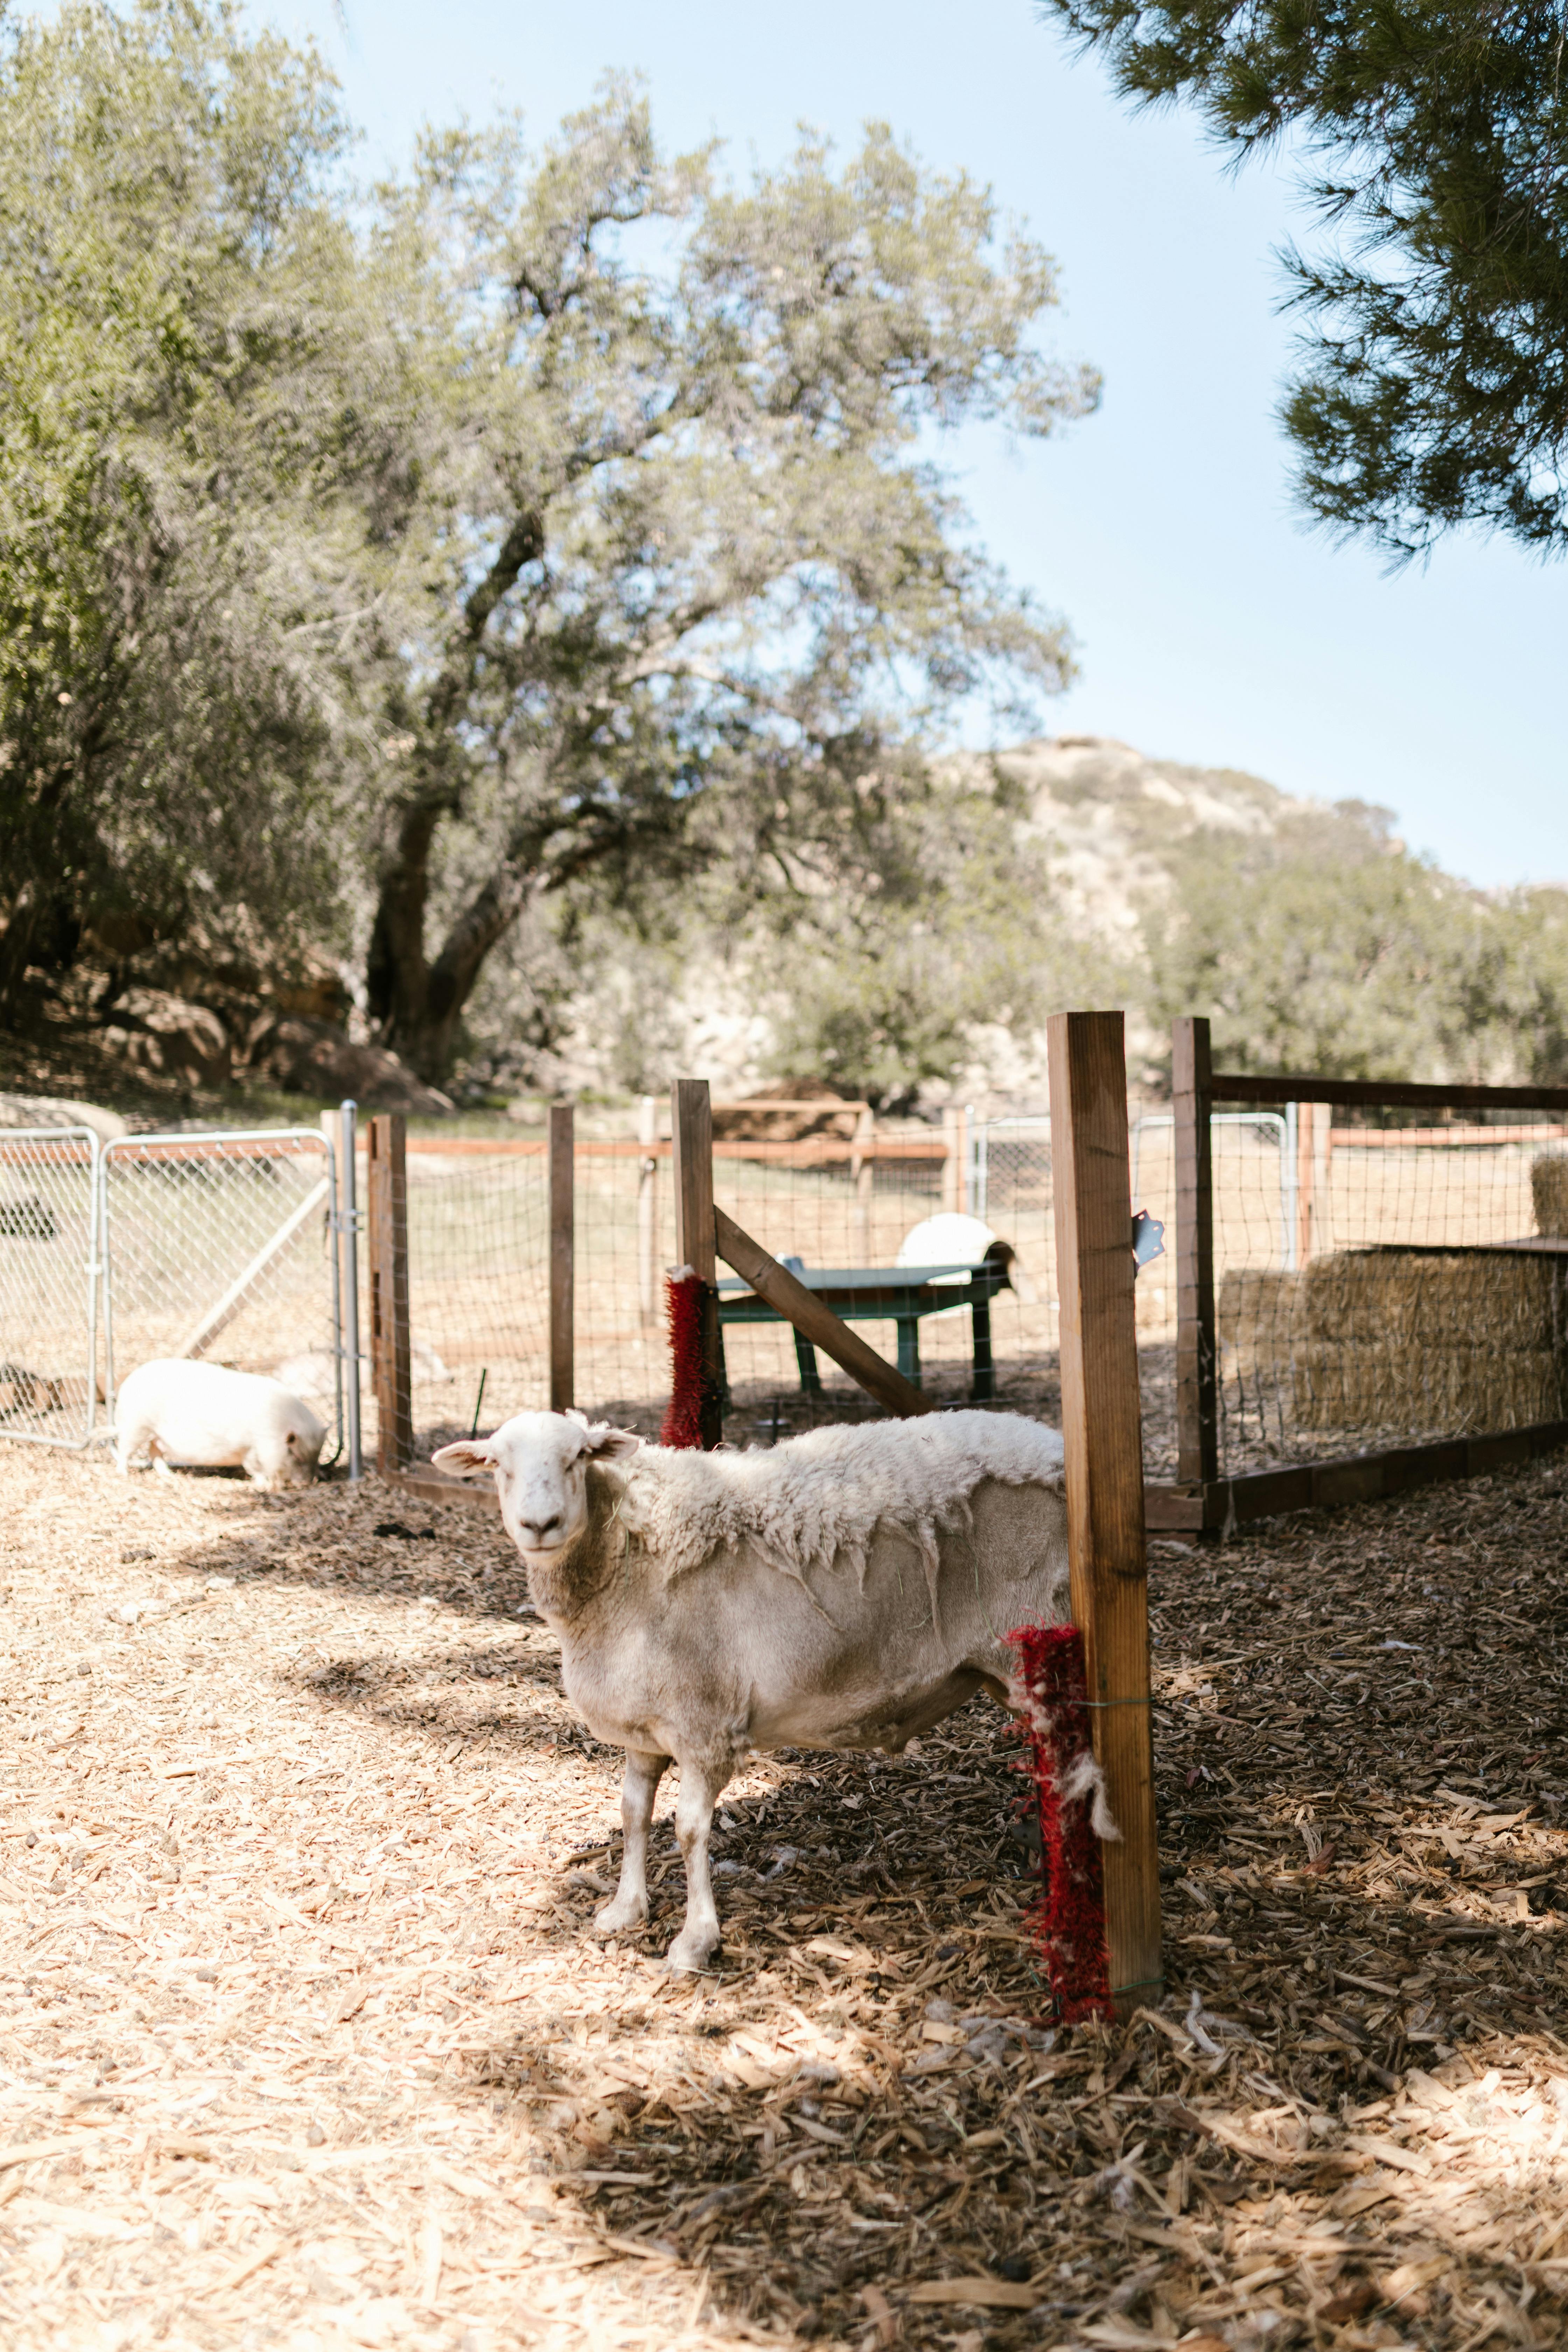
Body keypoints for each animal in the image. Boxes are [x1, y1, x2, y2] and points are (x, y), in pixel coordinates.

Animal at [113, 1359, 326, 1489]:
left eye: (317, 1456)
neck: (273, 1431)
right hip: (136, 1427)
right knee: (125, 1450)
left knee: (154, 1453)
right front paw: (264, 1485)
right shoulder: (250, 1448)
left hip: (155, 1435)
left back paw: (169, 1476)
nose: (309, 1483)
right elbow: (254, 1468)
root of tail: (127, 1383)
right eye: (296, 1455)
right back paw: (124, 1475)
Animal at [432, 1408, 1068, 1972]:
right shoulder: (644, 1728)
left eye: (578, 1458)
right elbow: (634, 1814)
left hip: (1032, 1640)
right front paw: (625, 1908)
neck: (629, 1562)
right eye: (497, 1465)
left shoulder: (704, 1723)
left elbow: (689, 1830)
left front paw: (695, 1941)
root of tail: (1051, 1445)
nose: (540, 1525)